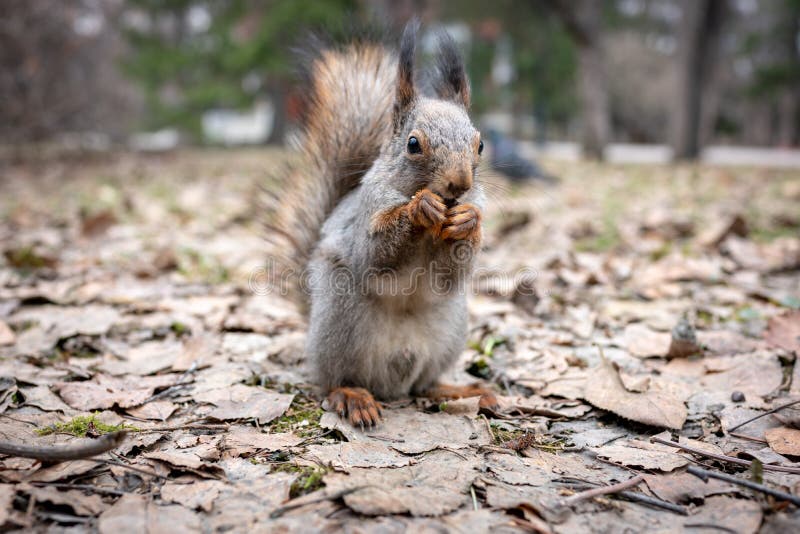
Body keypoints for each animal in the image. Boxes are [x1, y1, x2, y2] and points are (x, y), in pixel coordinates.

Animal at [267, 21, 497, 427]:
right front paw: (419, 208)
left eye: (480, 145)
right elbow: (374, 255)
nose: (459, 185)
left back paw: (458, 391)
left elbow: (452, 274)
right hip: (339, 319)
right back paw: (352, 396)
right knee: (334, 379)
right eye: (413, 144)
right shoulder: (366, 215)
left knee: (424, 385)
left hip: (449, 330)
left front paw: (468, 221)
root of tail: (391, 384)